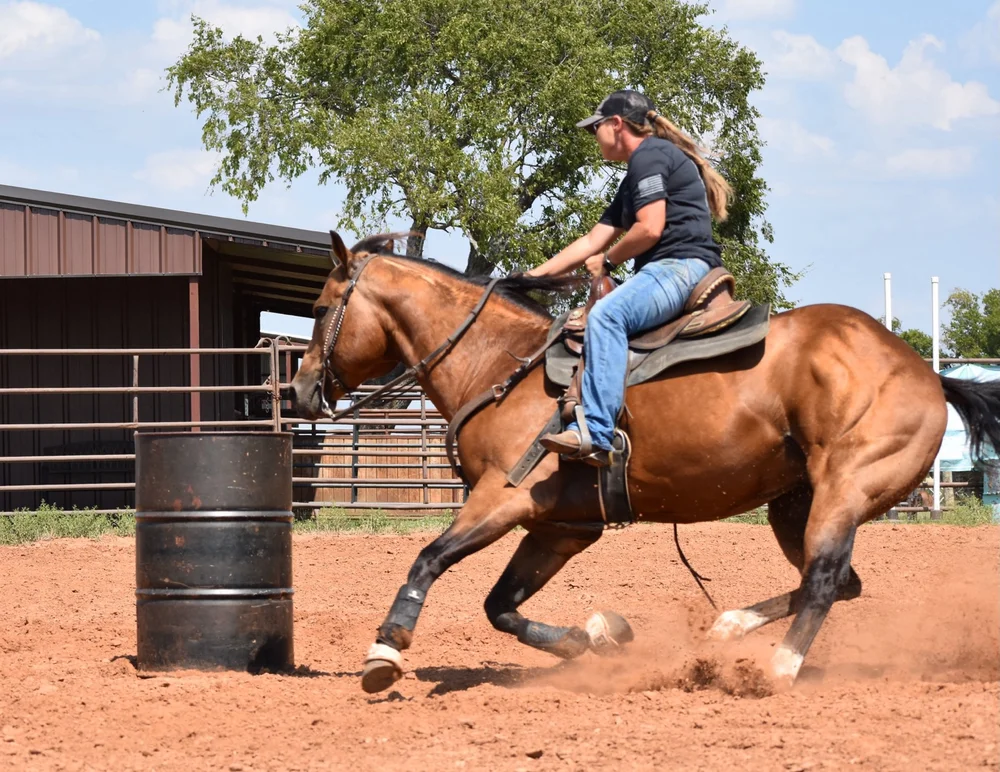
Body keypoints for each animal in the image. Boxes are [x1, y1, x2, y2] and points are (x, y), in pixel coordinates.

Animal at [288, 231, 1000, 694]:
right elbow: (500, 606)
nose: (298, 390)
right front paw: (594, 640)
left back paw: (776, 670)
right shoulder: (563, 527)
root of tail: (928, 375)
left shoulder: (504, 497)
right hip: (793, 504)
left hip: (845, 489)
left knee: (826, 580)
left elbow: (428, 559)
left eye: (320, 308)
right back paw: (730, 628)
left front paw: (384, 650)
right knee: (838, 581)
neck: (498, 366)